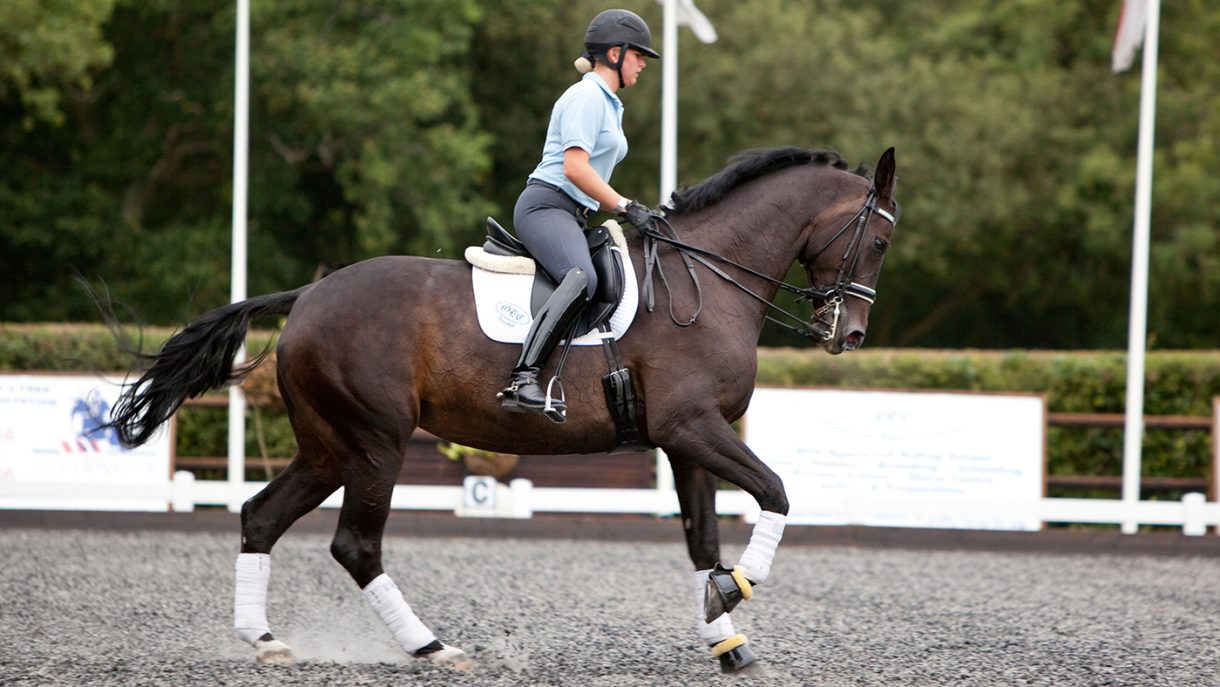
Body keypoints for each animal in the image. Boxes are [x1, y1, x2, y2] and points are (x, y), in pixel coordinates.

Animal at [102, 146, 900, 673]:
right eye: (882, 239)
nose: (849, 335)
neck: (709, 279)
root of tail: (309, 294)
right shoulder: (694, 427)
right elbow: (776, 493)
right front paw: (737, 588)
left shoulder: (683, 440)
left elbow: (702, 538)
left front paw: (725, 637)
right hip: (377, 442)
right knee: (356, 545)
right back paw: (430, 646)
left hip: (330, 446)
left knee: (260, 517)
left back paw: (265, 641)